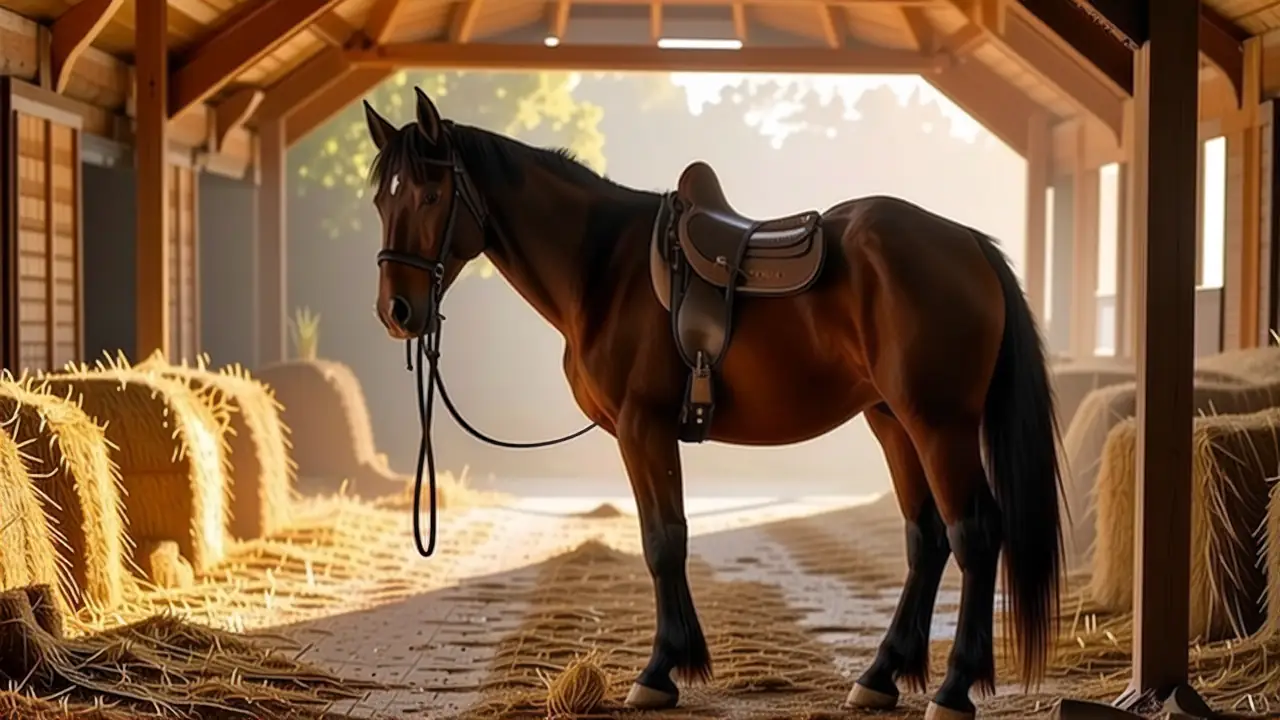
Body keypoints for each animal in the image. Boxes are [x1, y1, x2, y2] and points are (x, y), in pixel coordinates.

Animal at [363, 87, 1063, 720]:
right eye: (381, 198)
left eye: (430, 195)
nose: (397, 312)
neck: (603, 269)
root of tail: (966, 243)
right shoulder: (644, 432)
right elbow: (666, 536)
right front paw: (674, 664)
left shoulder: (642, 428)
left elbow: (663, 540)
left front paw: (659, 670)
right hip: (892, 421)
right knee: (927, 538)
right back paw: (880, 676)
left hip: (938, 422)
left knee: (975, 531)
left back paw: (954, 689)